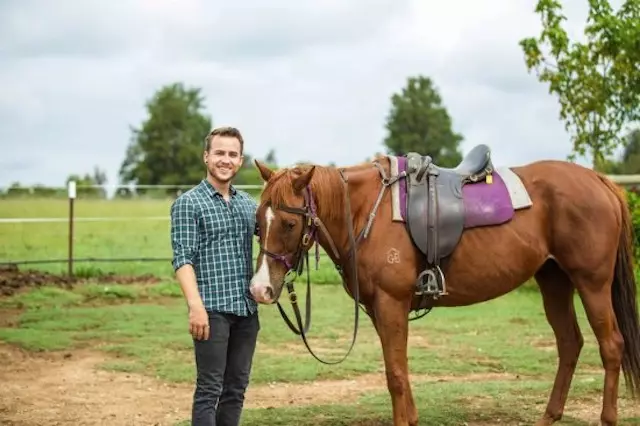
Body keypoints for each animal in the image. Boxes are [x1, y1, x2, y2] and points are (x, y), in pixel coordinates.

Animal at [249, 151, 640, 426]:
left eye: (288, 224)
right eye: (257, 222)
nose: (260, 289)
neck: (365, 212)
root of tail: (600, 181)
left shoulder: (391, 304)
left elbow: (395, 375)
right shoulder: (380, 310)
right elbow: (399, 370)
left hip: (591, 283)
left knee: (611, 346)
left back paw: (607, 418)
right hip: (554, 280)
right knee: (570, 343)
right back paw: (549, 416)